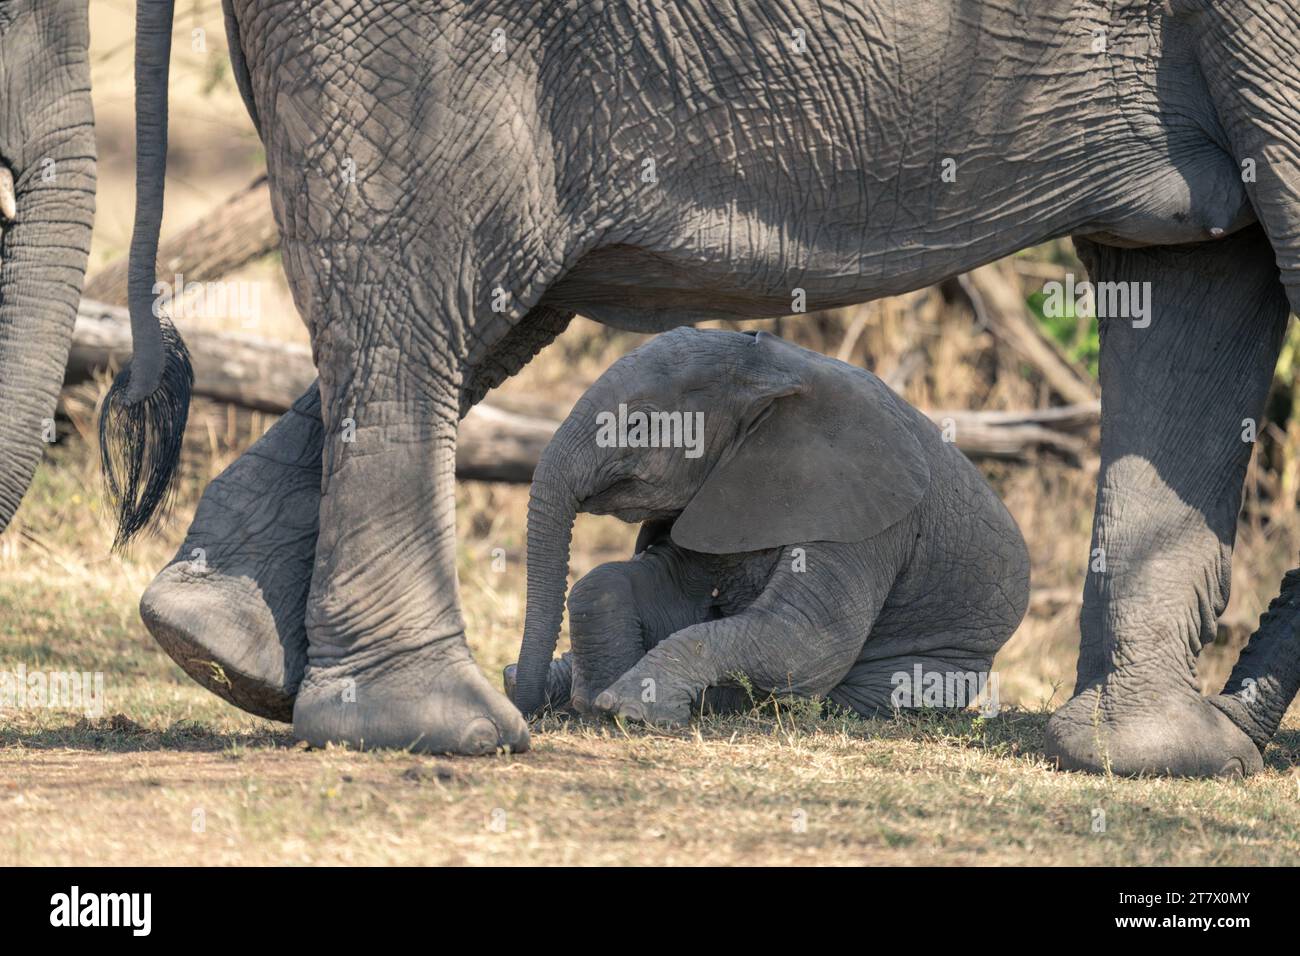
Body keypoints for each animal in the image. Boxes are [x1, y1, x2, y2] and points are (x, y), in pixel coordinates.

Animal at [501, 327, 1031, 725]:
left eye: (638, 426)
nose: (527, 713)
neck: (764, 375)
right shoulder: (717, 493)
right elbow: (628, 586)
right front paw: (592, 700)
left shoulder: (860, 518)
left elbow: (806, 641)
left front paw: (626, 707)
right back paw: (519, 680)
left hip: (940, 665)